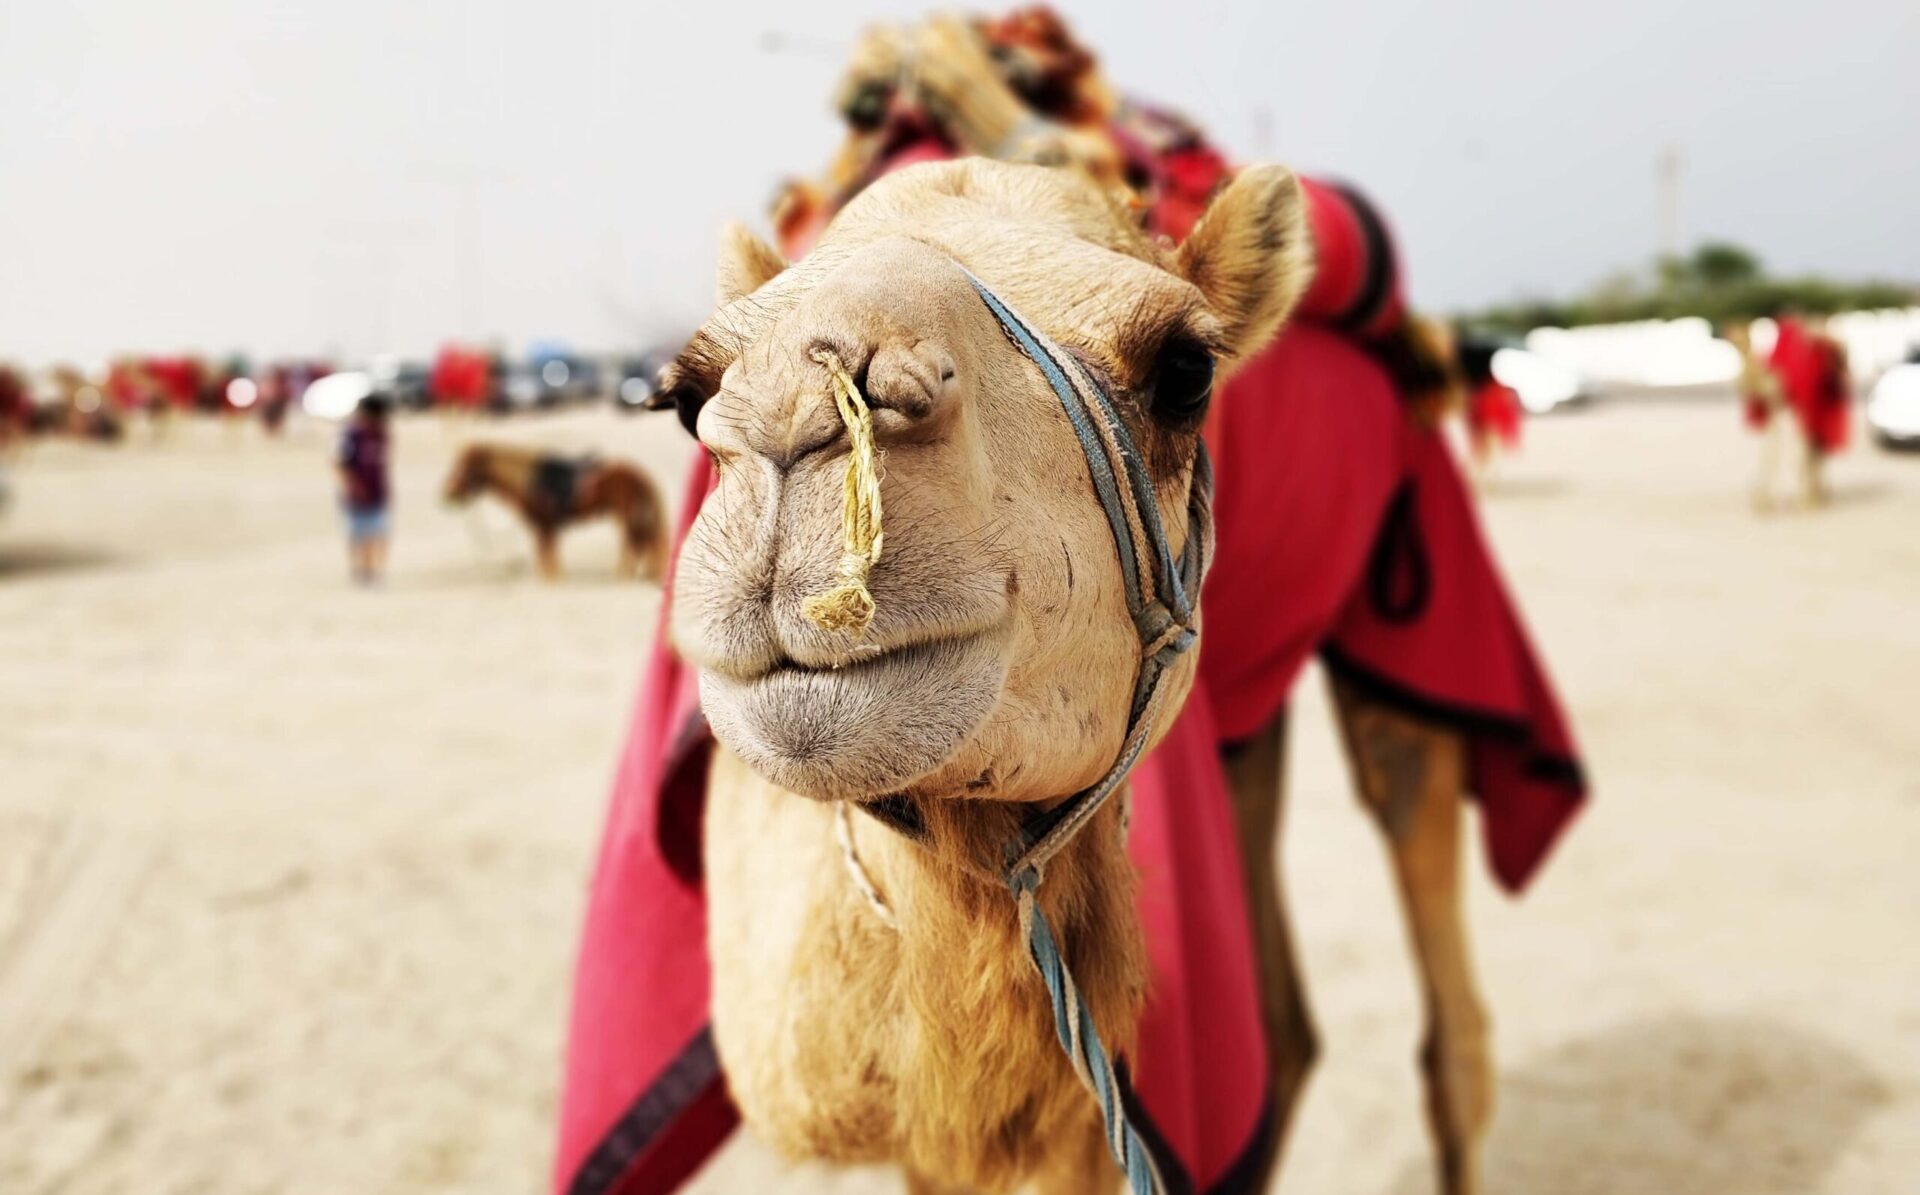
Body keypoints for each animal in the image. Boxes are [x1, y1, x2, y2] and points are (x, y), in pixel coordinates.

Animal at [442, 443, 667, 581]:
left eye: (462, 468)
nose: (447, 492)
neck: (531, 482)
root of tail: (639, 473)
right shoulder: (544, 527)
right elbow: (546, 553)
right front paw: (552, 577)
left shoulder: (544, 525)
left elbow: (546, 553)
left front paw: (552, 578)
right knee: (642, 543)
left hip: (628, 518)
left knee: (635, 544)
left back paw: (623, 575)